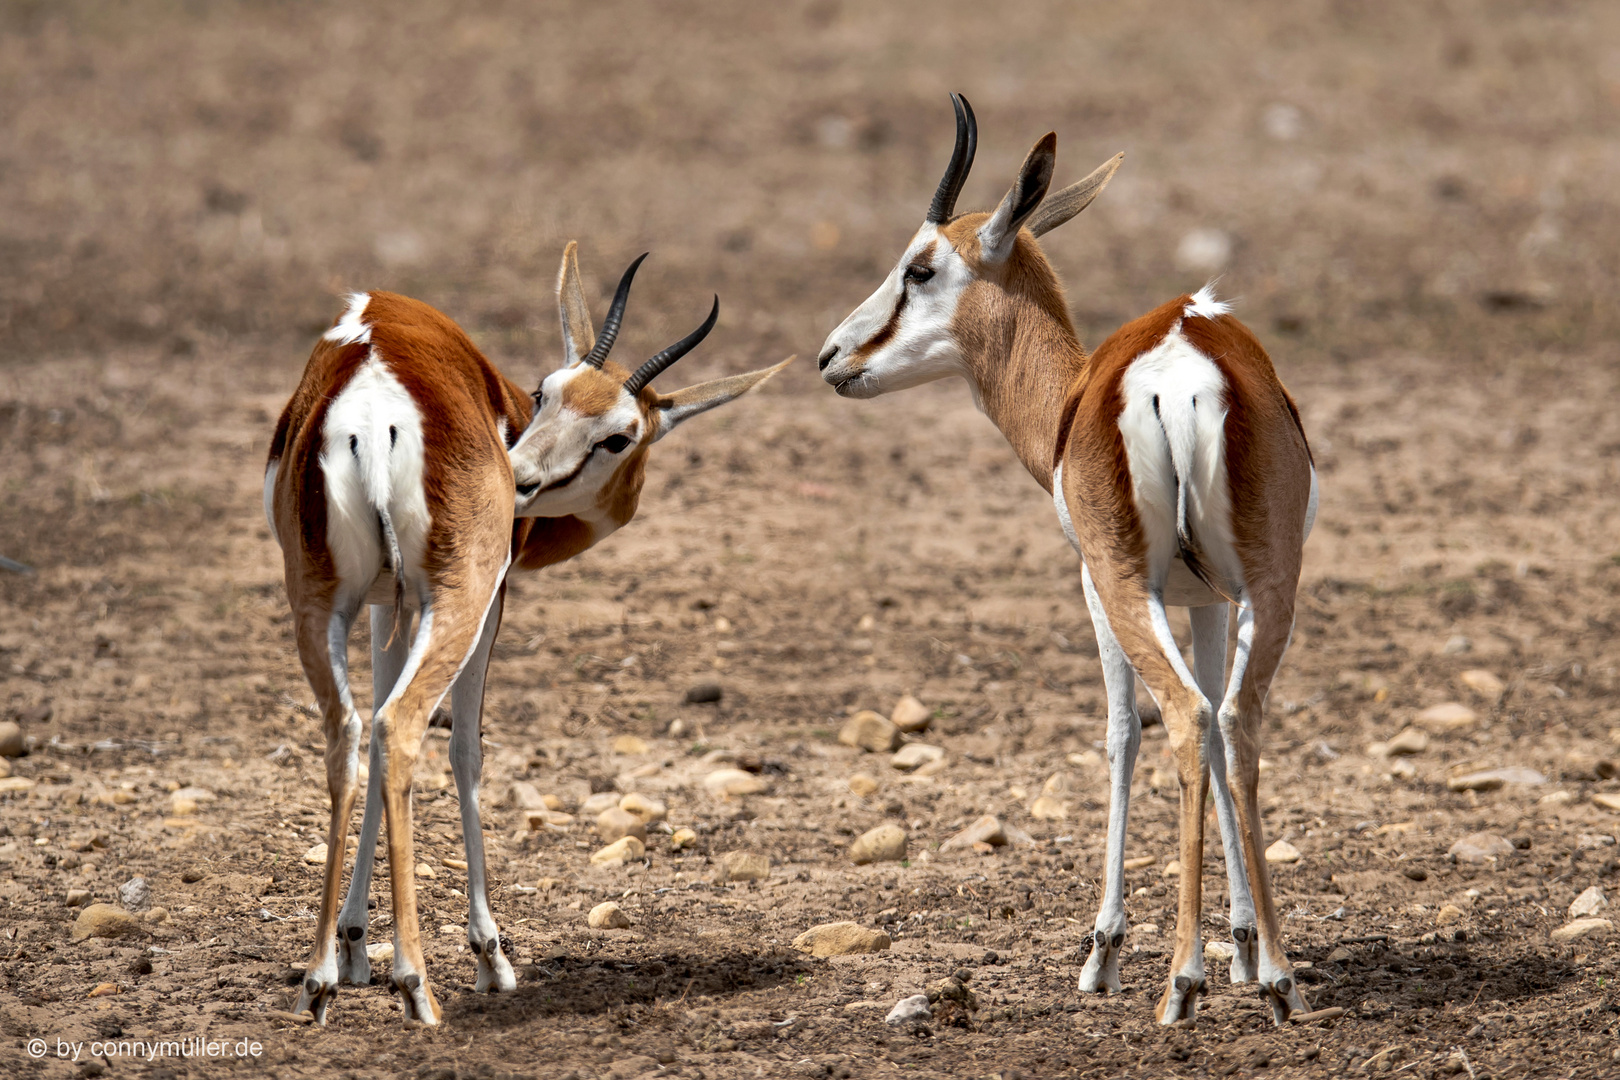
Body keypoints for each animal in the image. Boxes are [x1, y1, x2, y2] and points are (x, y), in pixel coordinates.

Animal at [262, 241, 787, 1029]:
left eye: (616, 434)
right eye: (544, 393)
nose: (522, 482)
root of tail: (372, 402)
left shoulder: (388, 604)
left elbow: (378, 739)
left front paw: (356, 948)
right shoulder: (489, 598)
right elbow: (467, 750)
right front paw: (490, 957)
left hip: (320, 602)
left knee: (353, 730)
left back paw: (320, 981)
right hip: (458, 600)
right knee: (405, 727)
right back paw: (418, 986)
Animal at [816, 95, 1321, 1023]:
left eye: (919, 268)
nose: (833, 357)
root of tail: (1179, 368)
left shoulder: (1093, 582)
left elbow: (1120, 733)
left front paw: (1104, 955)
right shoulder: (1208, 598)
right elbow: (1215, 728)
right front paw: (1241, 947)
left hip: (1127, 588)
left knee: (1183, 718)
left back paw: (1179, 983)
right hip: (1271, 588)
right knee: (1234, 719)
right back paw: (1275, 980)